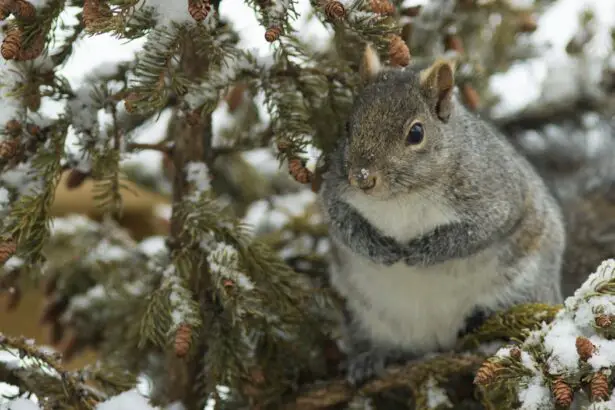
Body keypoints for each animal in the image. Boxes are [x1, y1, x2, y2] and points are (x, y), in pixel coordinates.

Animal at [318, 46, 568, 386]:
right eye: (348, 126)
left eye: (416, 133)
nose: (362, 178)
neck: (403, 197)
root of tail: (437, 342)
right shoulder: (335, 190)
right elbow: (341, 223)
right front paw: (378, 248)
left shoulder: (496, 194)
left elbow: (475, 232)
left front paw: (422, 251)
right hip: (358, 312)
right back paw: (369, 359)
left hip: (524, 286)